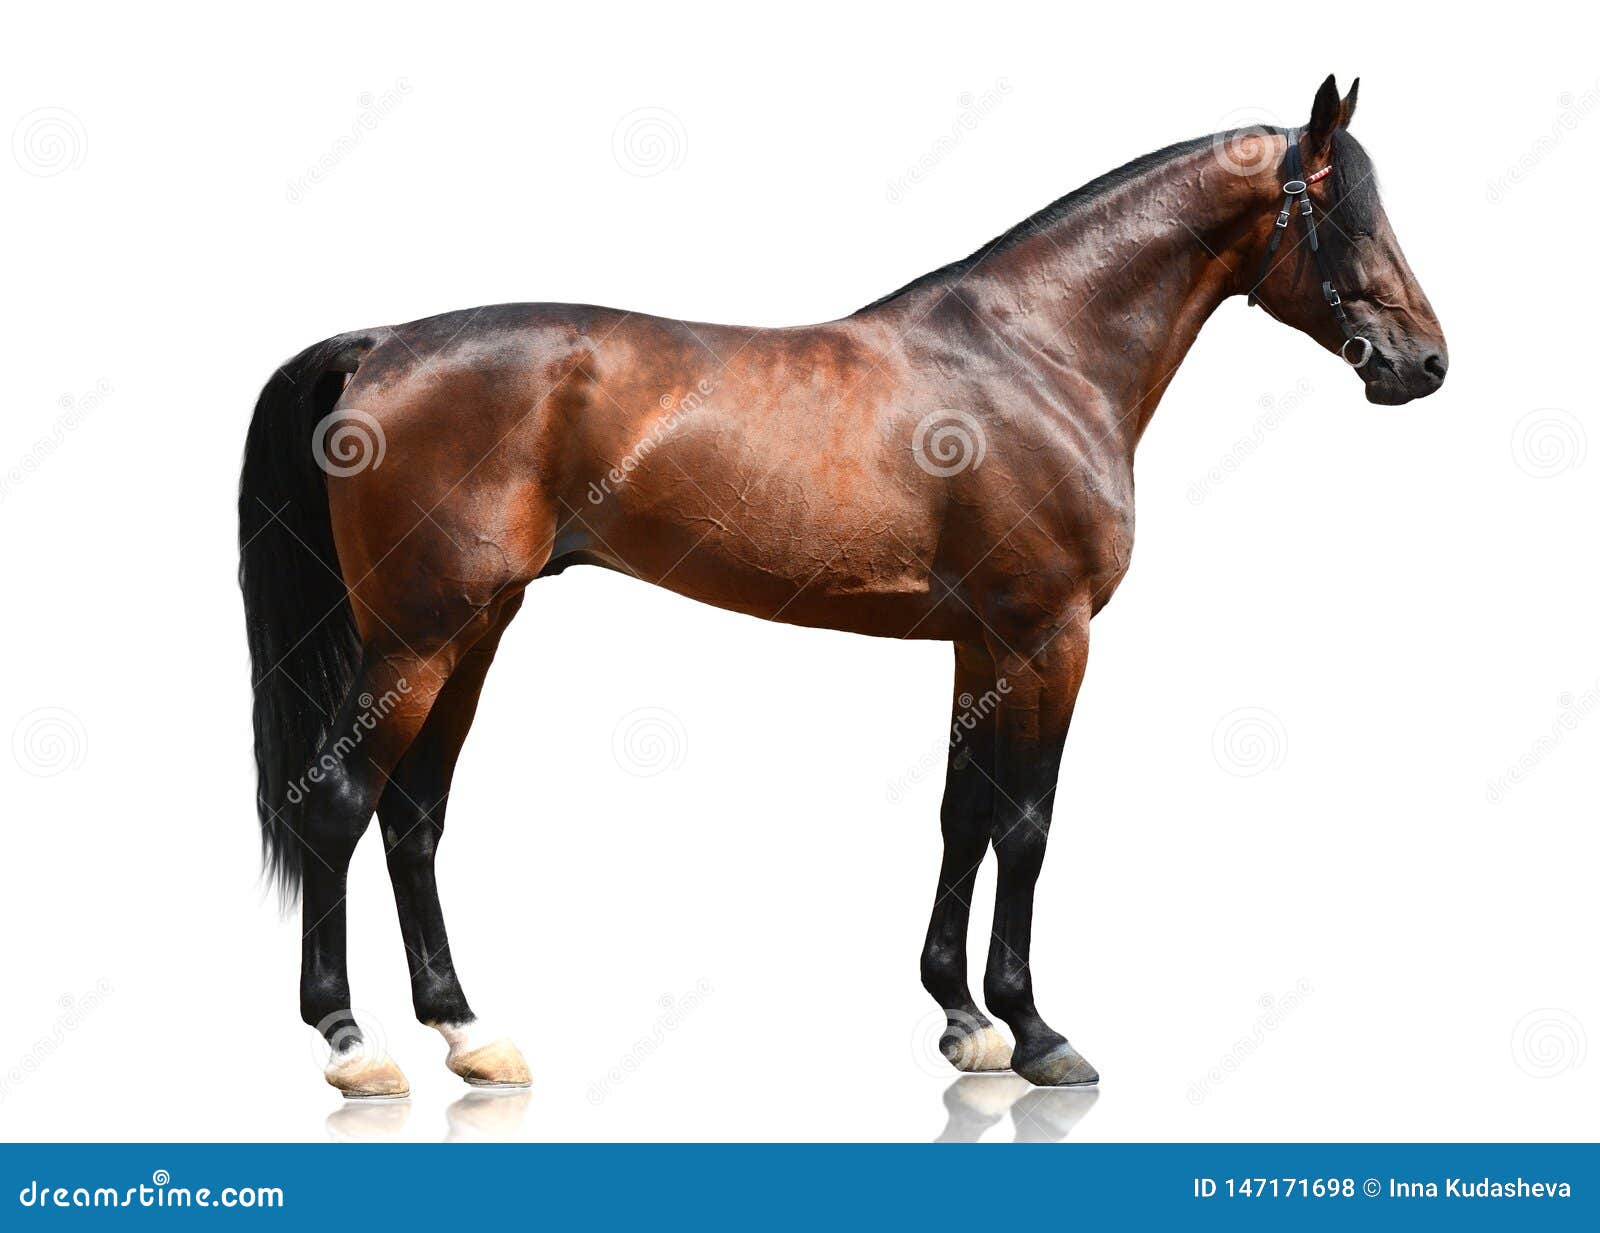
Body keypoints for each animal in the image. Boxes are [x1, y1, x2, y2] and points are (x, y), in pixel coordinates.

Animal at [239, 75, 1446, 1098]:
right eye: (1346, 213)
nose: (1425, 363)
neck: (1037, 356)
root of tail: (383, 343)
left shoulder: (983, 644)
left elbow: (964, 813)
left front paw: (964, 1021)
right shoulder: (1049, 636)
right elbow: (1027, 823)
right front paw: (1038, 1032)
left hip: (474, 630)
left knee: (414, 816)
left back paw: (468, 1035)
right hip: (417, 639)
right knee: (339, 806)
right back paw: (353, 1048)